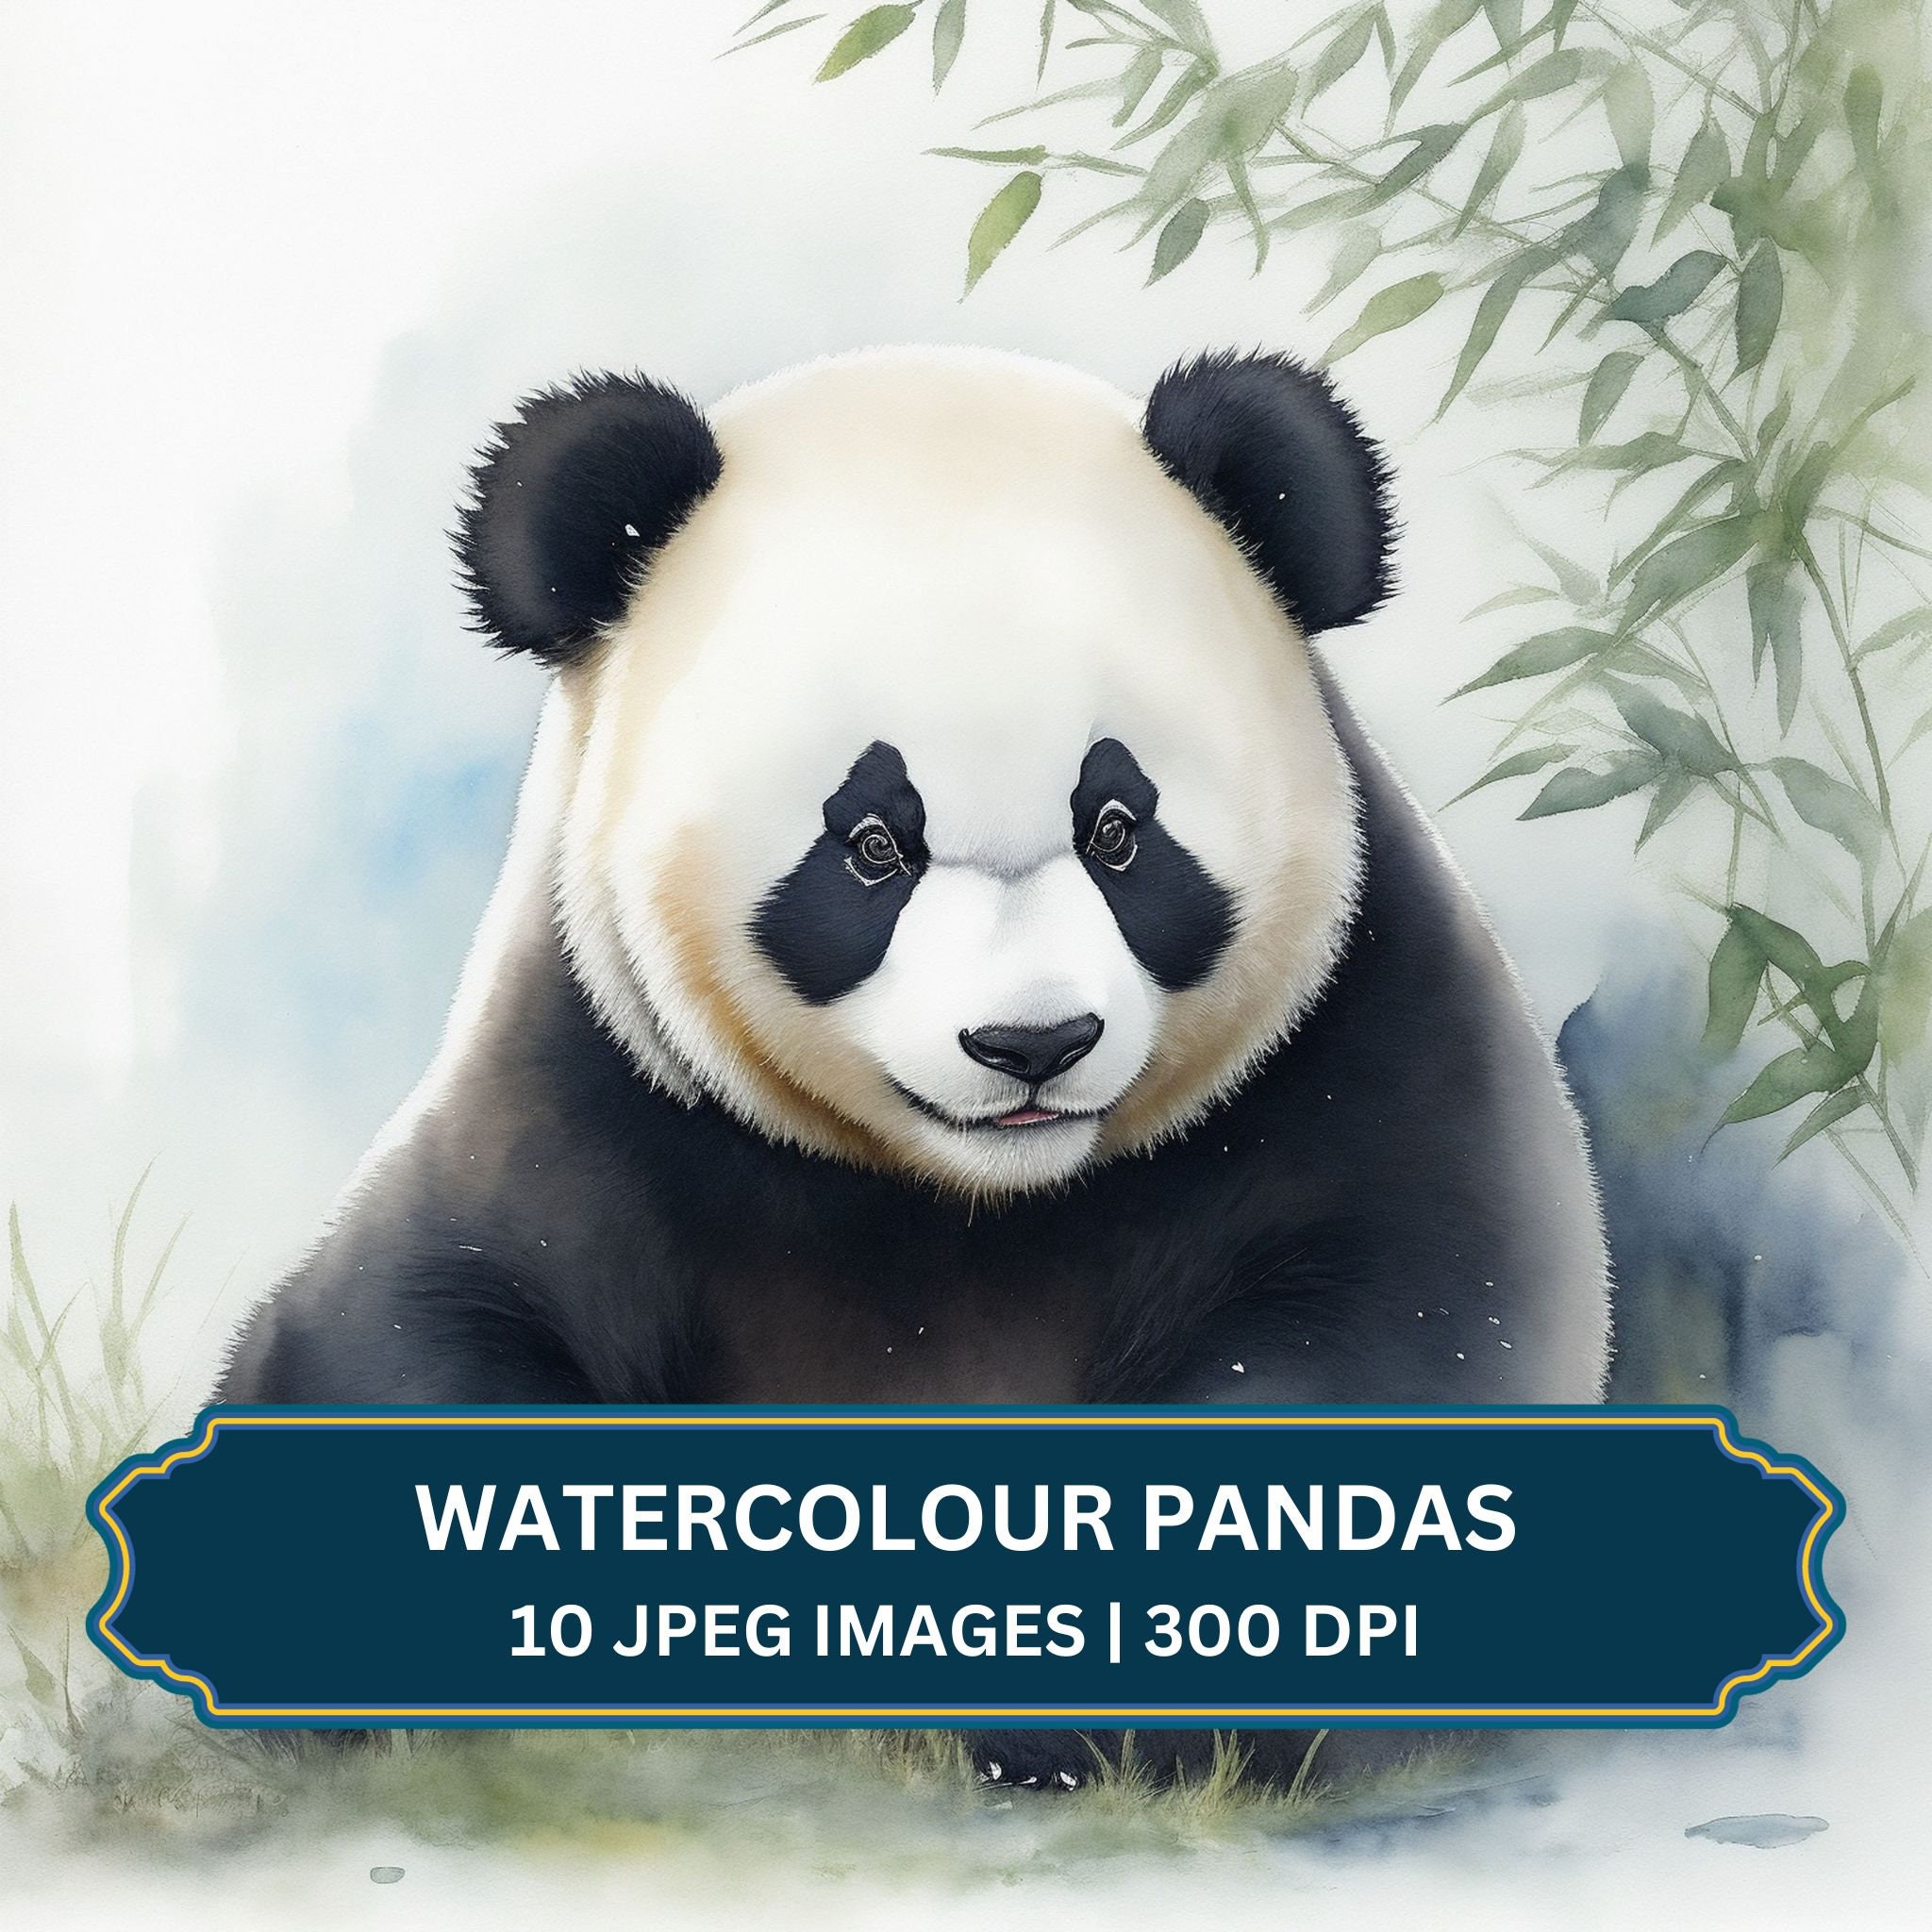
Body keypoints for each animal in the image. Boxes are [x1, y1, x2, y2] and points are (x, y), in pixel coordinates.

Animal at [221, 345, 1609, 1788]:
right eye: (873, 844)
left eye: (1118, 827)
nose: (1033, 1043)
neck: (968, 1201)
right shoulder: (593, 1083)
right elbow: (393, 1339)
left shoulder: (1364, 1041)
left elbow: (1412, 1346)